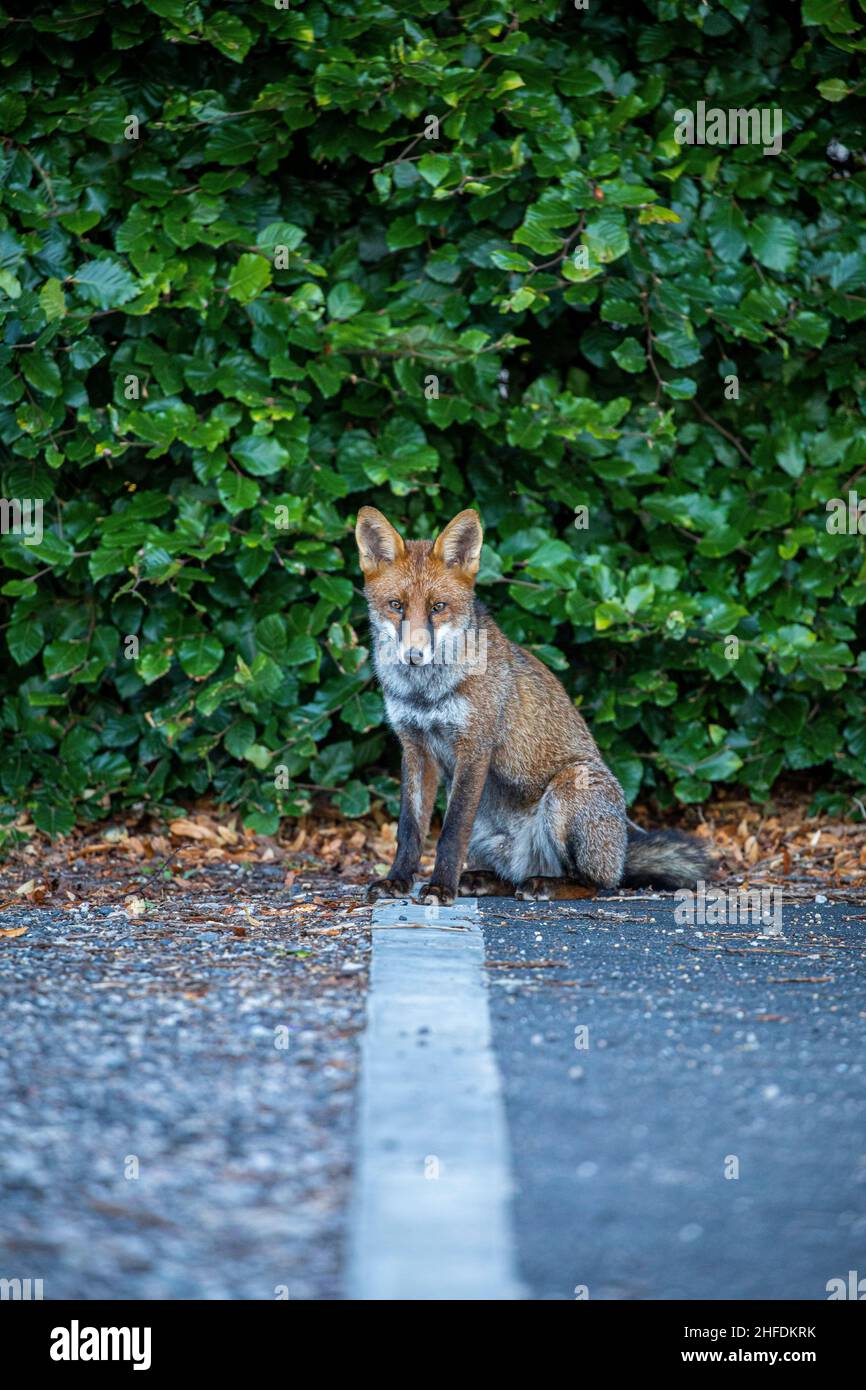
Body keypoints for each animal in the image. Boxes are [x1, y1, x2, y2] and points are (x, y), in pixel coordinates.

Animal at [355, 505, 713, 906]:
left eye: (438, 607)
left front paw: (441, 887)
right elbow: (410, 830)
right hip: (490, 833)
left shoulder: (474, 747)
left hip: (569, 790)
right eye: (396, 606)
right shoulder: (415, 749)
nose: (414, 655)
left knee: (594, 883)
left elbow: (450, 833)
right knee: (512, 877)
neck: (425, 693)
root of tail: (620, 853)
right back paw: (484, 880)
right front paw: (397, 880)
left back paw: (546, 885)